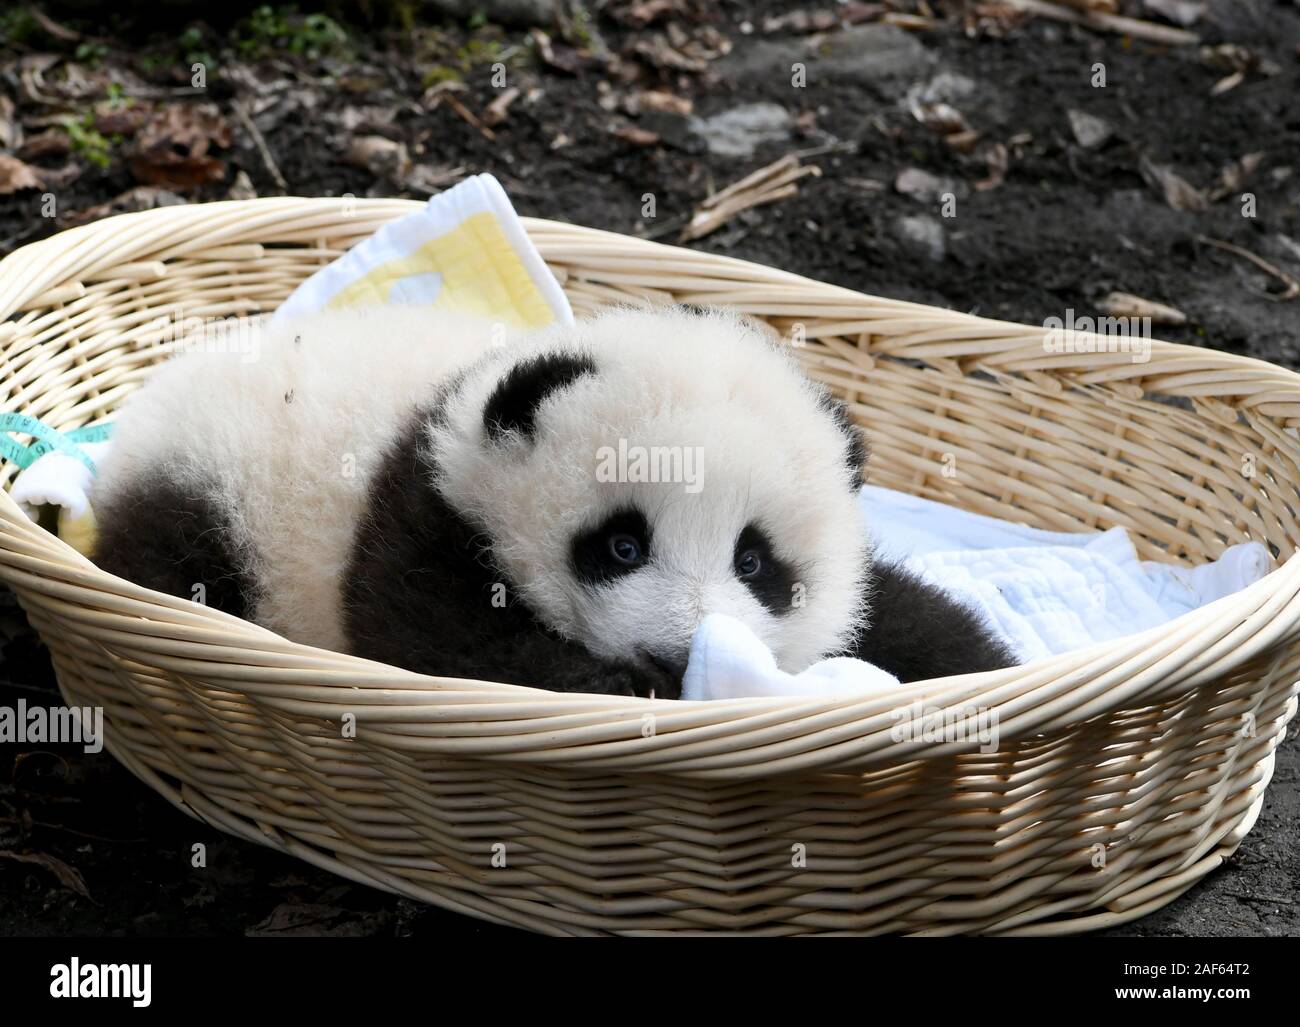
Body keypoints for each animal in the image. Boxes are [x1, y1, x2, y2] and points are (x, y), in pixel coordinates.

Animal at [91, 304, 1015, 698]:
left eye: (755, 561)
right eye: (622, 544)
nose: (677, 654)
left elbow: (889, 611)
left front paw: (982, 664)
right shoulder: (428, 509)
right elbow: (450, 643)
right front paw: (623, 690)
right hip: (215, 489)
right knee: (179, 563)